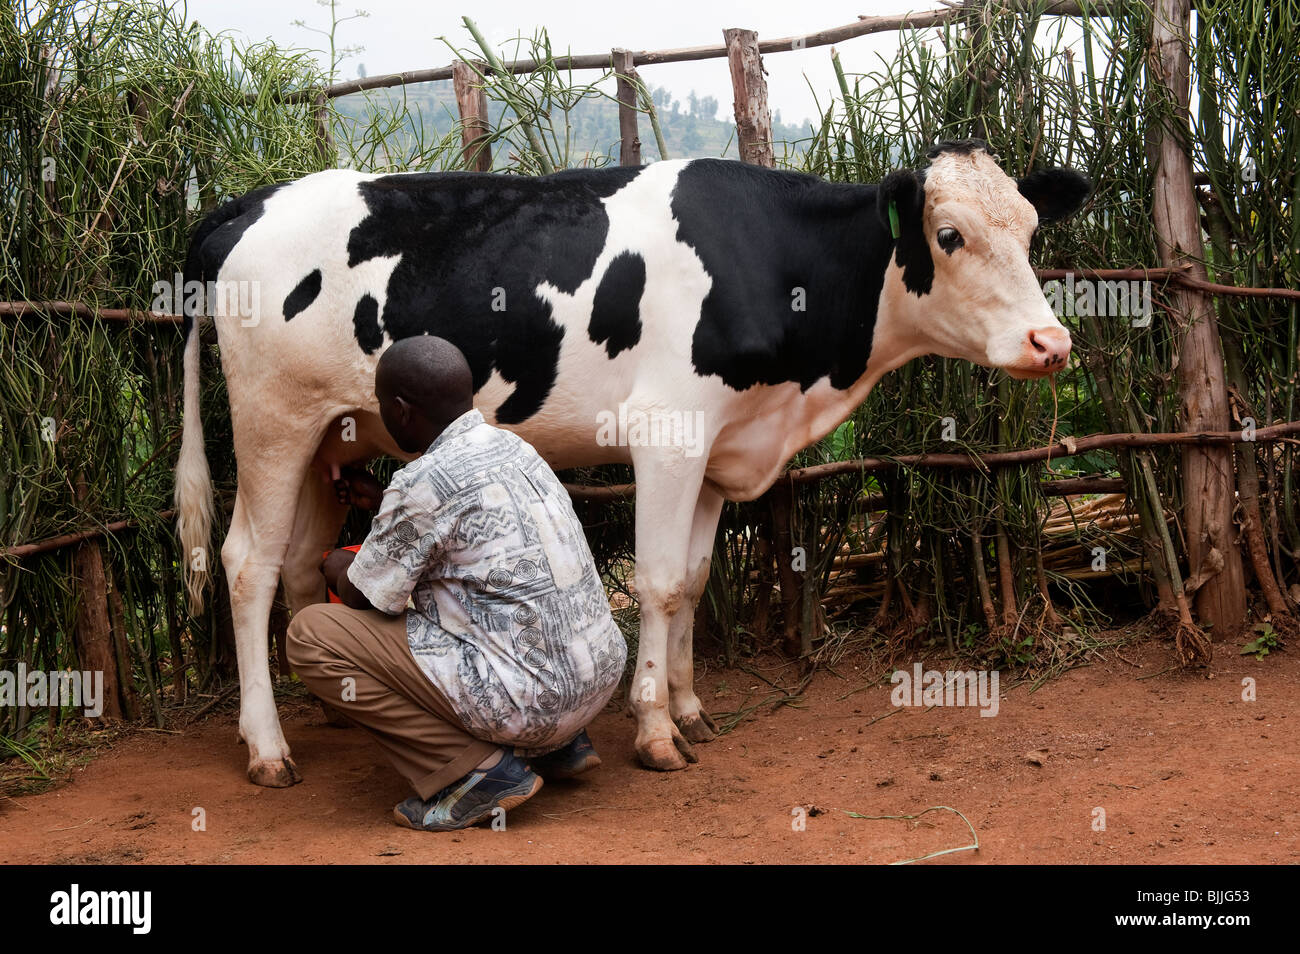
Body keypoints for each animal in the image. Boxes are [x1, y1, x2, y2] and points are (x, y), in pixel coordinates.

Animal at [174, 139, 1089, 787]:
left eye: (1031, 230)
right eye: (949, 235)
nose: (1052, 342)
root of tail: (250, 203)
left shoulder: (720, 449)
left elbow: (694, 576)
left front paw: (689, 706)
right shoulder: (669, 434)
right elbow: (656, 581)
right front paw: (654, 729)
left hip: (331, 431)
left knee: (299, 560)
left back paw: (328, 711)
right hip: (272, 420)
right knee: (247, 563)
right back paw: (266, 746)